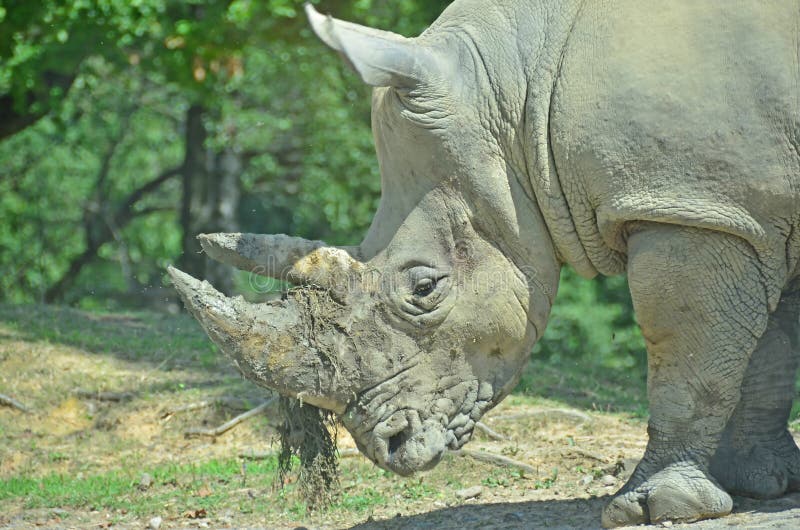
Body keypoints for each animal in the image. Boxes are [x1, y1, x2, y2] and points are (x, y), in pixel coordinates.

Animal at [168, 0, 800, 526]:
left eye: (424, 287)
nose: (390, 447)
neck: (520, 93)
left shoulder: (693, 206)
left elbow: (687, 351)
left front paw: (656, 507)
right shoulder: (750, 211)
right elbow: (768, 350)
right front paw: (763, 485)